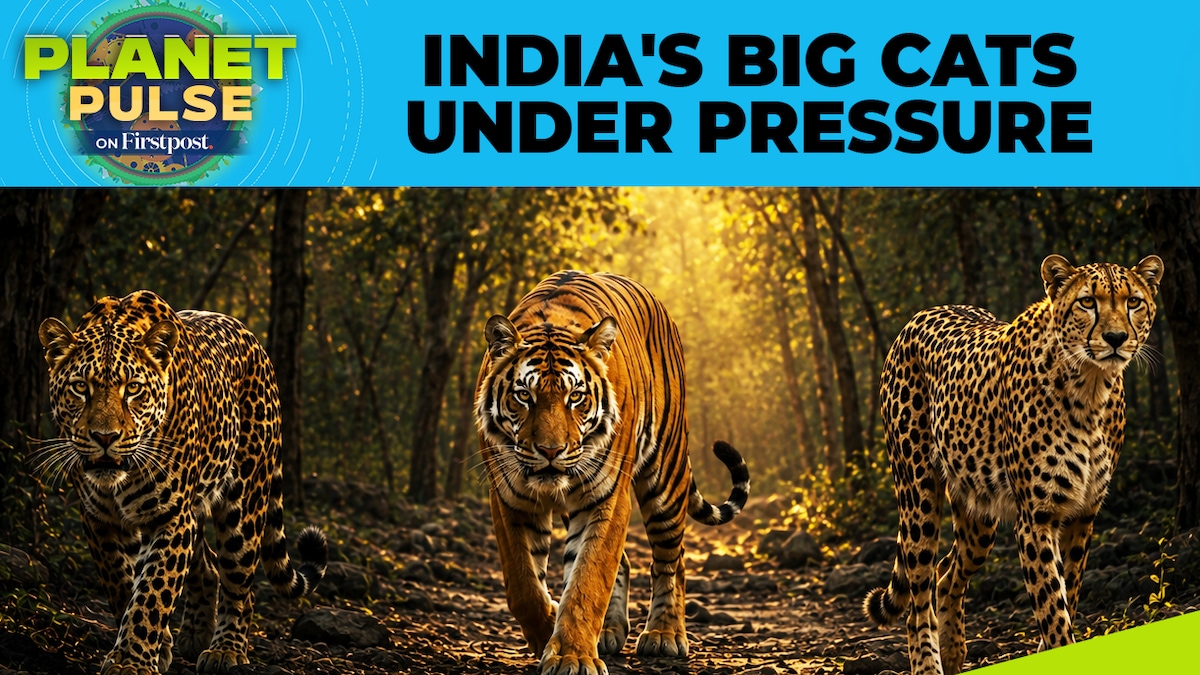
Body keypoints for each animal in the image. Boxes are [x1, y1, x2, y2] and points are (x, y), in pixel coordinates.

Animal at [37, 290, 328, 675]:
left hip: (244, 506)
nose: (105, 437)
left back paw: (226, 650)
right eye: (80, 388)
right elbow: (121, 583)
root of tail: (254, 342)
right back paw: (194, 635)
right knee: (207, 566)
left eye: (133, 389)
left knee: (240, 583)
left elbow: (152, 592)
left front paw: (131, 661)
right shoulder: (99, 519)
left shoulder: (171, 517)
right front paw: (156, 648)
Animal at [474, 270, 751, 675]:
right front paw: (548, 632)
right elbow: (523, 584)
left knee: (671, 560)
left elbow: (589, 578)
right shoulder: (510, 498)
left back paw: (665, 635)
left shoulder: (607, 496)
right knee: (626, 561)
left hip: (665, 478)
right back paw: (607, 632)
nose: (550, 452)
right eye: (524, 395)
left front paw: (571, 656)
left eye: (575, 397)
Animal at [863, 254, 1164, 675]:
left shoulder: (1083, 514)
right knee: (919, 596)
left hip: (978, 520)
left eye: (1133, 302)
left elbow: (1068, 591)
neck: (1090, 387)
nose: (1117, 338)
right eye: (1088, 302)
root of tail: (922, 313)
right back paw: (929, 663)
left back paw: (953, 652)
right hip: (916, 496)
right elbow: (1052, 607)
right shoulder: (1036, 518)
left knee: (946, 573)